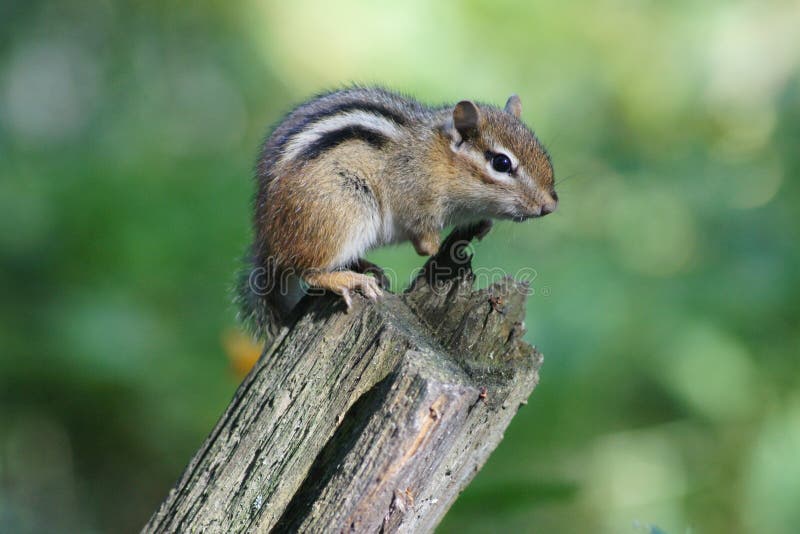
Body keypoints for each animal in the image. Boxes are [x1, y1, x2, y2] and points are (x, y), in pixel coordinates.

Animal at [237, 86, 557, 338]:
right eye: (501, 163)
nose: (550, 206)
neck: (438, 156)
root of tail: (267, 238)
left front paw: (480, 226)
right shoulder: (415, 200)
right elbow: (424, 243)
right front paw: (443, 246)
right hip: (343, 210)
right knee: (308, 269)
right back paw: (350, 279)